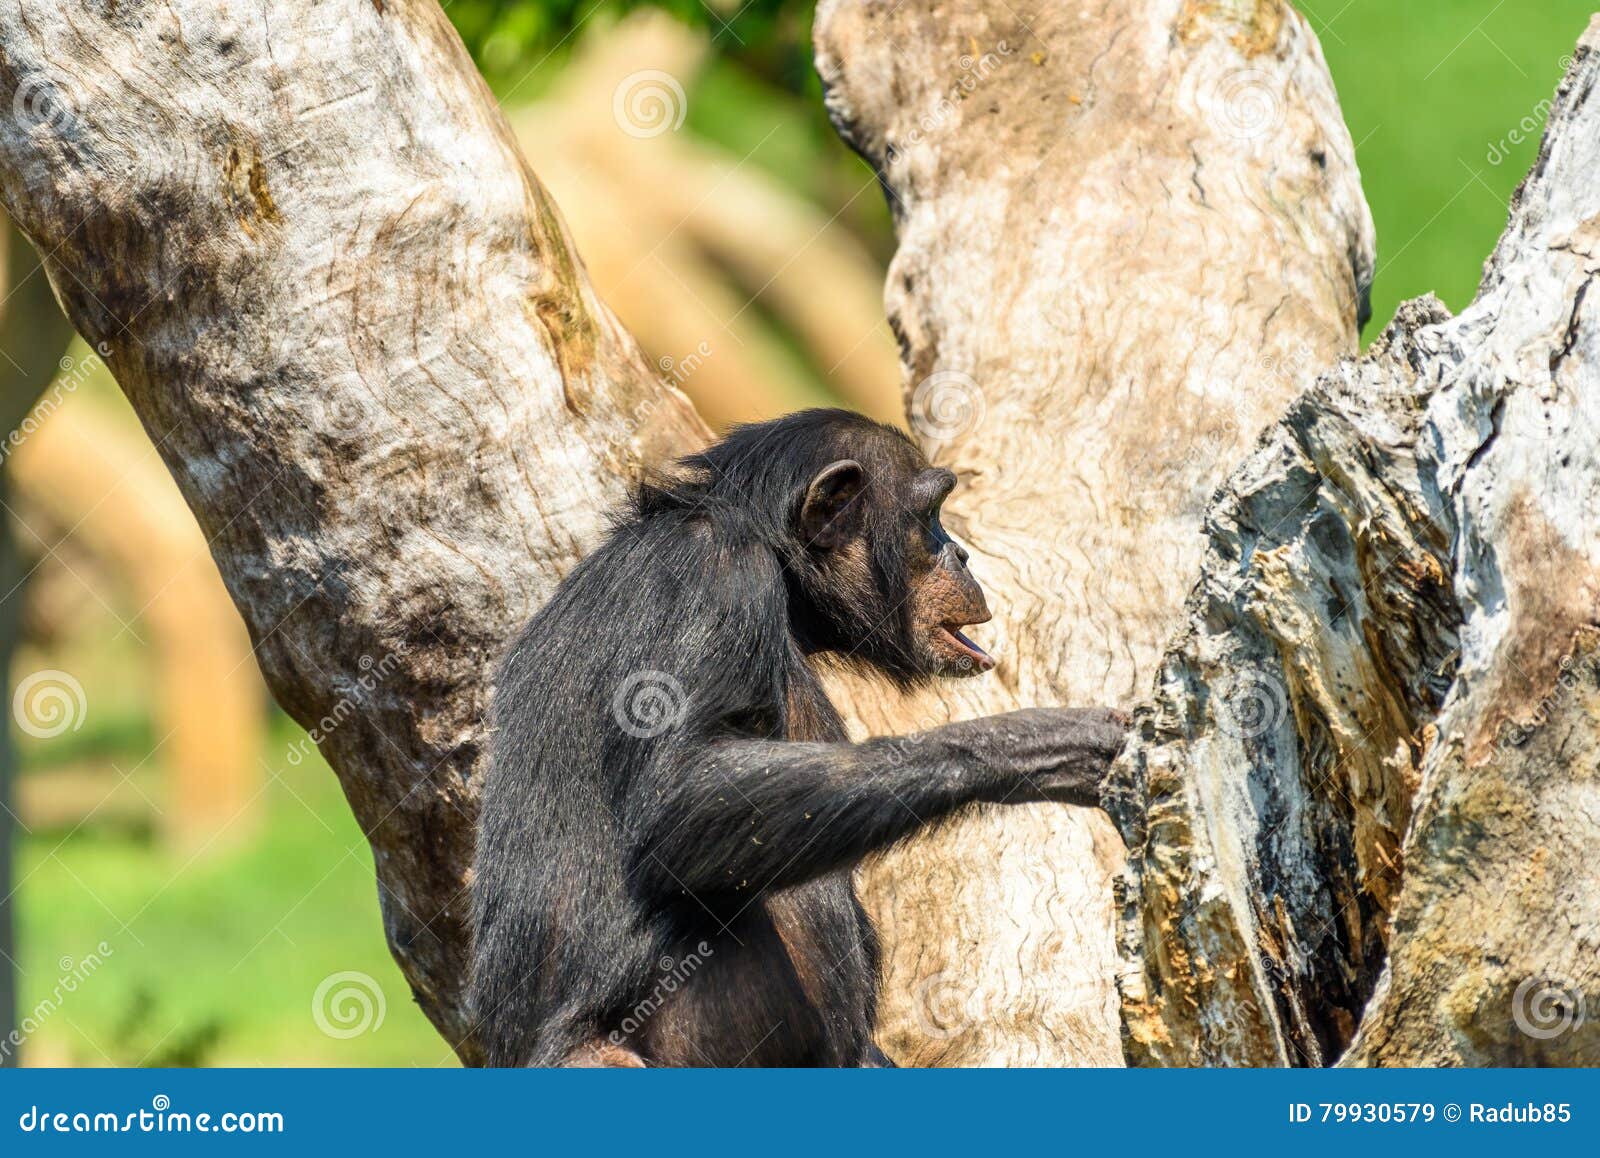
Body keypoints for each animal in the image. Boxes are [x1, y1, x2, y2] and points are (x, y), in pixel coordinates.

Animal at [468, 408, 1127, 1067]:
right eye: (929, 516)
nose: (960, 554)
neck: (783, 575)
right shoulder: (714, 574)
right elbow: (682, 791)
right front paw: (1043, 744)